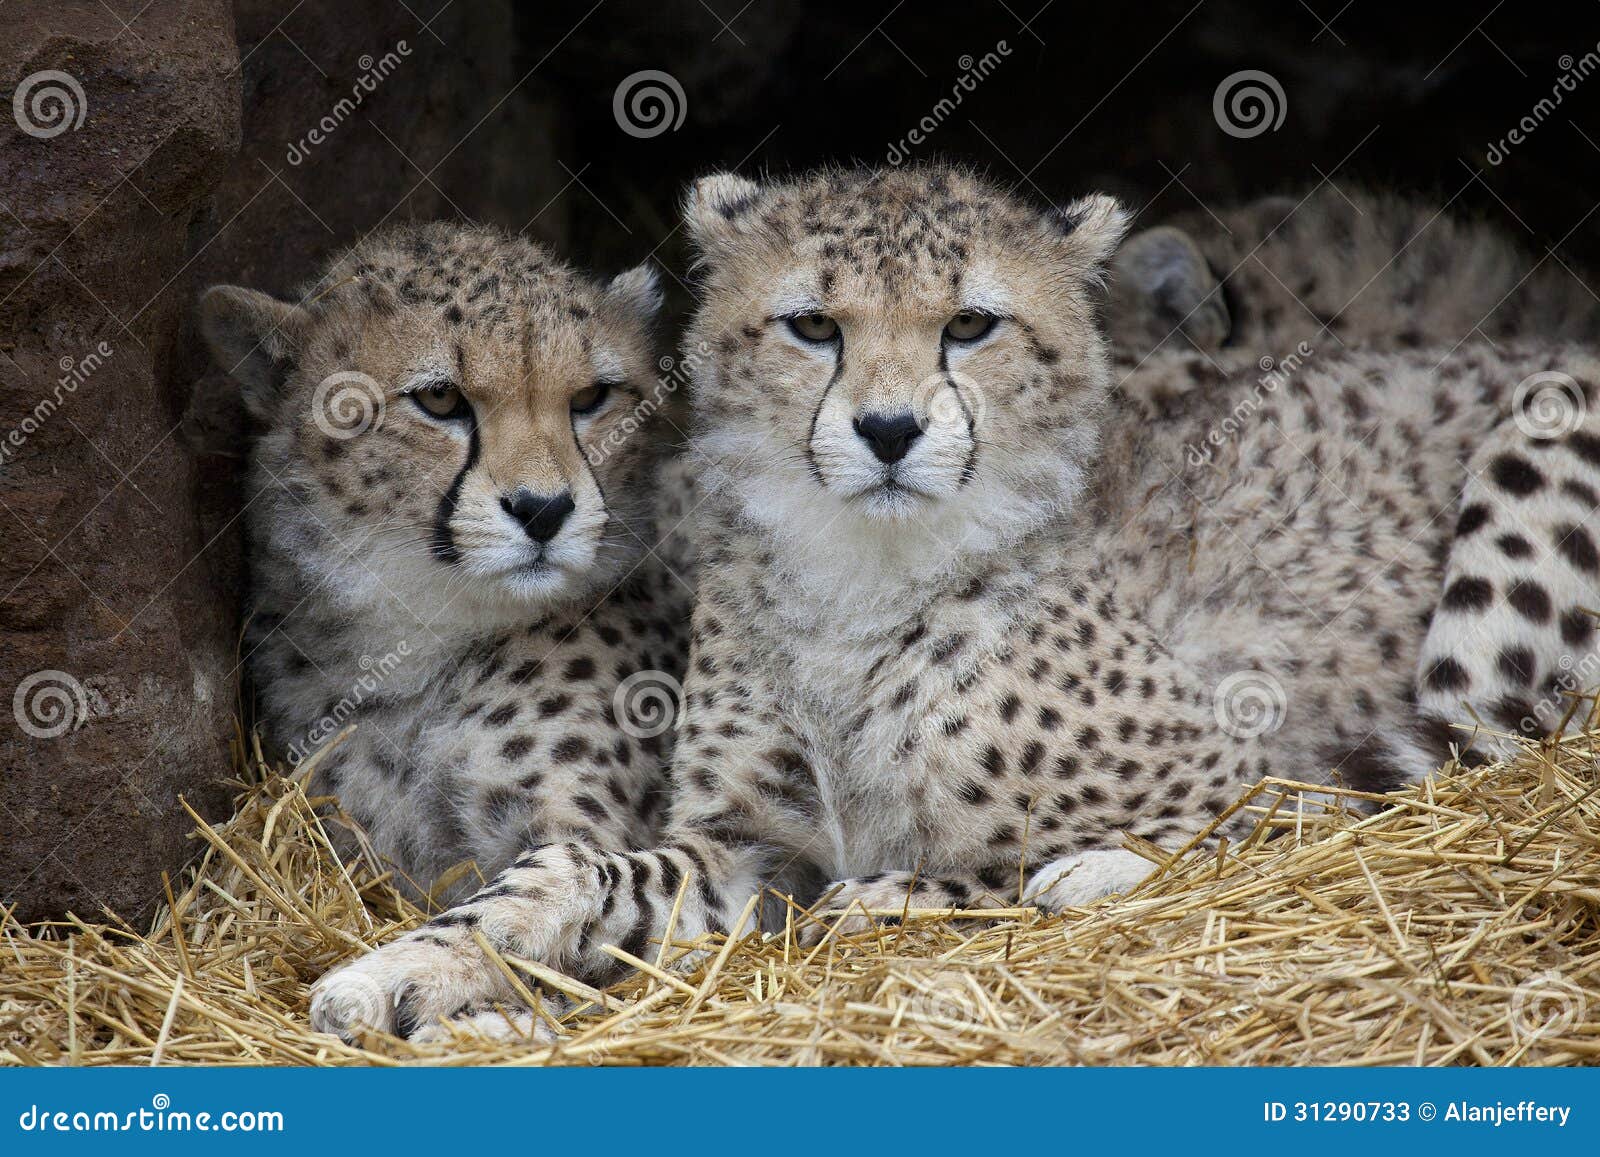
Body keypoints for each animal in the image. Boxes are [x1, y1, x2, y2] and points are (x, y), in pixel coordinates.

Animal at [198, 222, 695, 944]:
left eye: (590, 399)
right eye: (439, 400)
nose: (544, 509)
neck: (417, 646)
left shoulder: (583, 835)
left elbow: (521, 905)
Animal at [304, 166, 1600, 1044]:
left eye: (969, 324)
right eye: (812, 324)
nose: (887, 429)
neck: (860, 574)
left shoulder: (1219, 760)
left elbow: (1227, 824)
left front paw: (924, 893)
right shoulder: (750, 843)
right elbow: (568, 872)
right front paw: (409, 968)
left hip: (1544, 425)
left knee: (1465, 753)